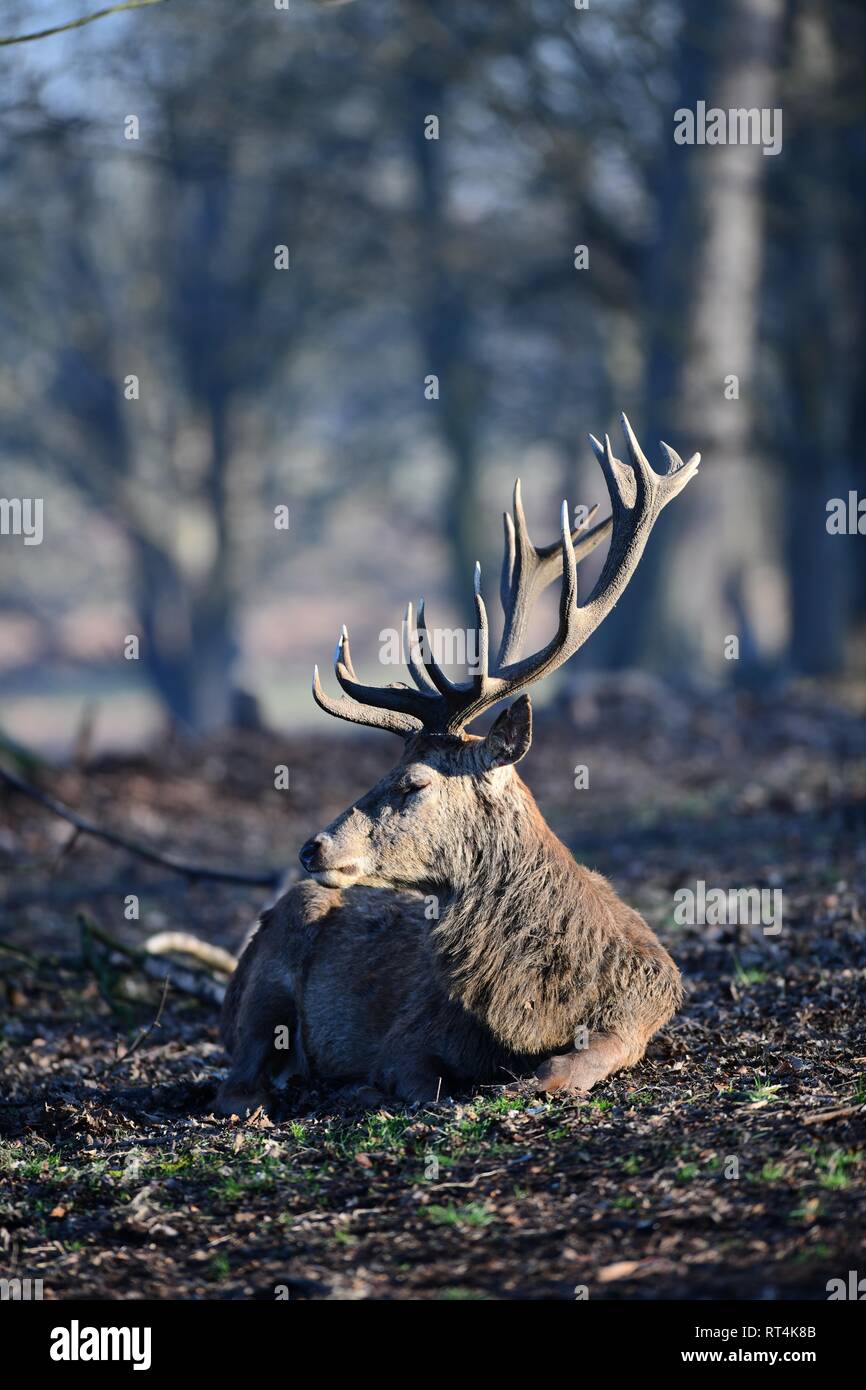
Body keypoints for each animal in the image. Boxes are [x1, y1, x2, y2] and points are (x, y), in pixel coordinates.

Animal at [216, 415, 700, 1117]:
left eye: (412, 781)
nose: (313, 847)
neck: (534, 1014)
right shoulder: (410, 1036)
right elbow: (426, 1084)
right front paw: (372, 1086)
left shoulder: (640, 1014)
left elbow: (571, 1068)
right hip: (261, 989)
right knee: (236, 1082)